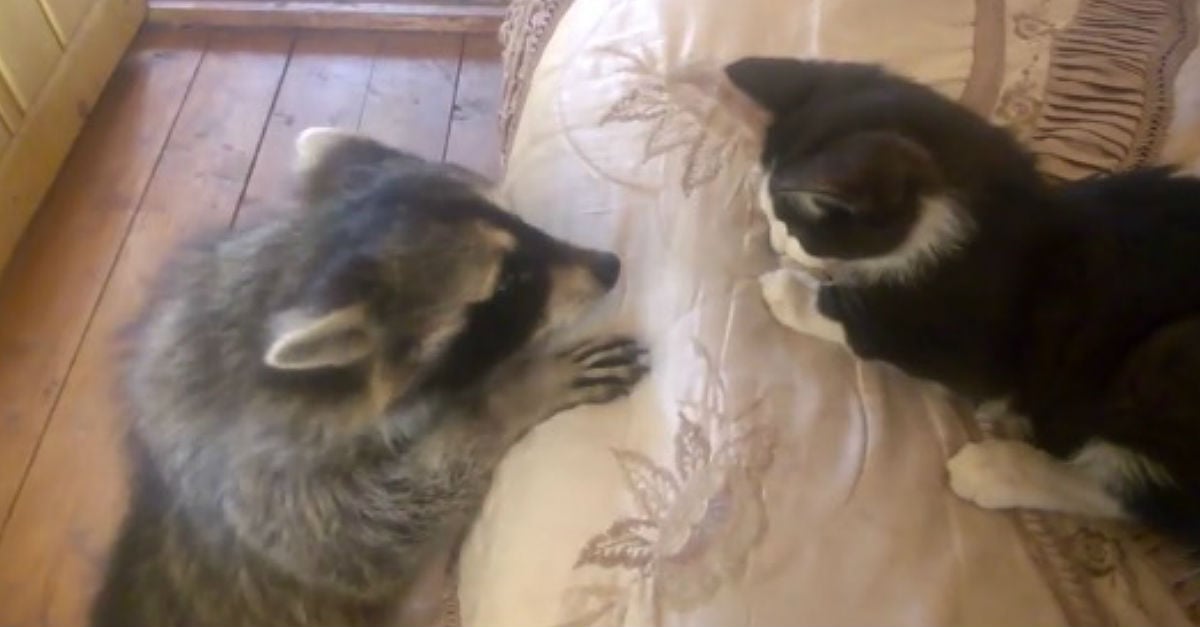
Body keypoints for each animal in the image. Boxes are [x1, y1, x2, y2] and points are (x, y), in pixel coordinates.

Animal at [89, 128, 649, 627]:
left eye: (514, 215)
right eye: (511, 282)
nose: (609, 265)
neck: (283, 277)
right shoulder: (271, 495)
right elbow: (397, 519)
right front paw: (515, 392)